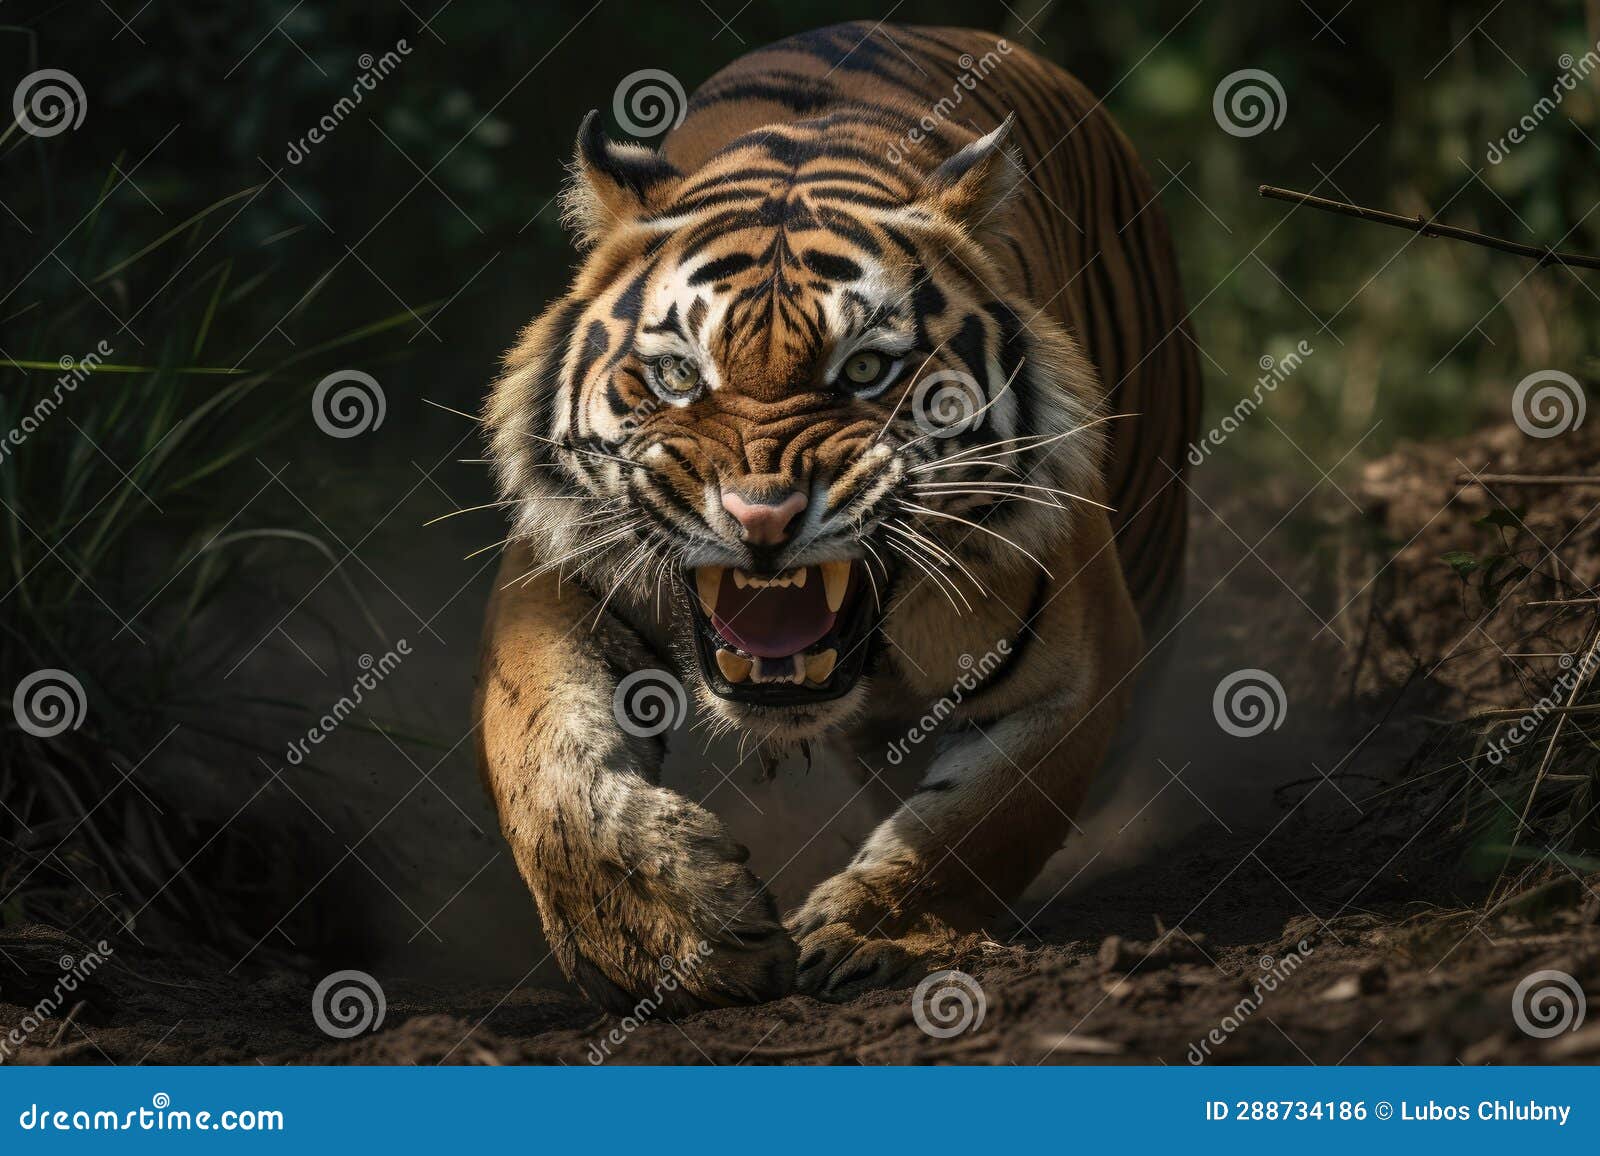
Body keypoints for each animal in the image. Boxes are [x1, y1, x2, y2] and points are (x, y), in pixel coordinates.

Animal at [473, 21, 1201, 1013]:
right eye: (678, 375)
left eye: (863, 370)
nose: (760, 516)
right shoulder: (554, 582)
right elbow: (550, 778)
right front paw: (674, 939)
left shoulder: (1075, 655)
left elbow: (988, 819)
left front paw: (868, 934)